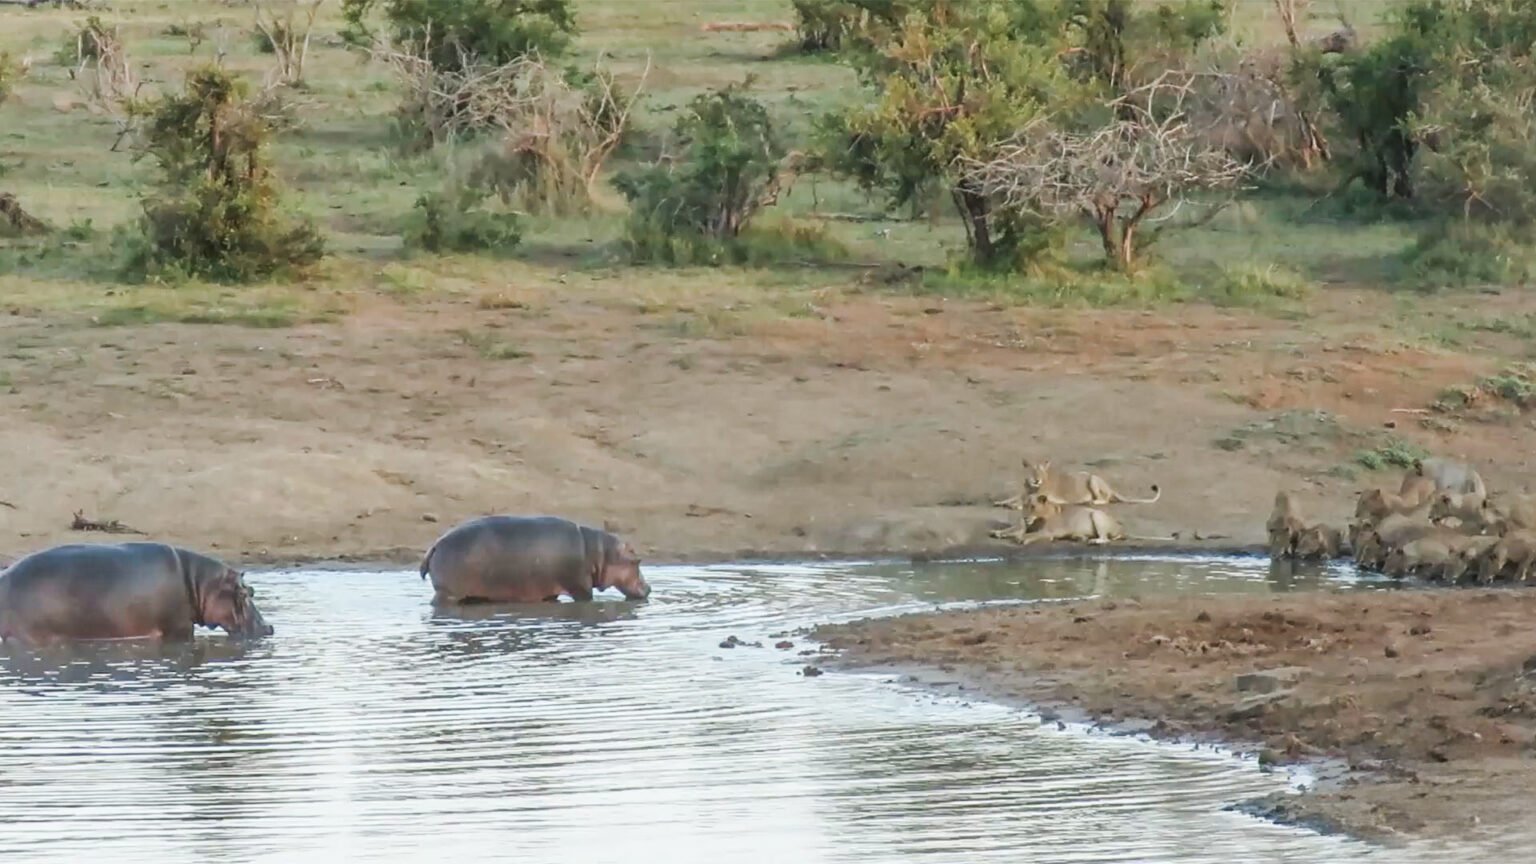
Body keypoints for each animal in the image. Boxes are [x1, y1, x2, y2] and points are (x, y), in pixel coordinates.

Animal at [419, 515, 650, 604]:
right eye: (637, 560)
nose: (649, 588)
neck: (601, 553)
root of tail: (434, 545)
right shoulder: (580, 587)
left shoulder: (548, 590)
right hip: (448, 593)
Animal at [994, 459, 1160, 510]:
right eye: (1032, 472)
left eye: (1041, 472)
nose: (1037, 480)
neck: (1031, 486)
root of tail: (1110, 487)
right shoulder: (1023, 492)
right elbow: (1014, 497)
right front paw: (1000, 502)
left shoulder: (1045, 497)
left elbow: (1021, 502)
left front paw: (1014, 505)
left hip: (1092, 478)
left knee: (1105, 500)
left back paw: (1090, 501)